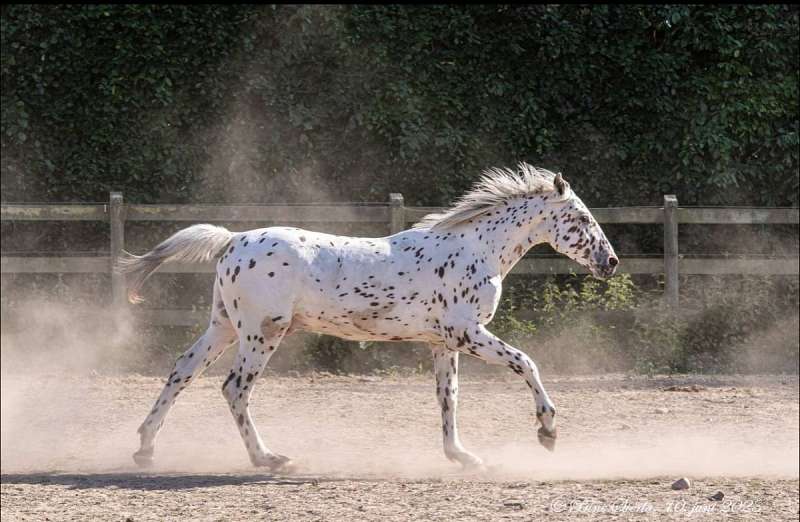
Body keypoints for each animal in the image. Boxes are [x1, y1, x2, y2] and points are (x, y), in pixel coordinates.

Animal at [118, 163, 618, 471]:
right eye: (581, 219)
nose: (610, 262)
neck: (476, 250)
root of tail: (232, 241)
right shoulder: (468, 332)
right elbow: (526, 362)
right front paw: (547, 430)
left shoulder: (443, 343)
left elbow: (449, 399)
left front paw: (463, 457)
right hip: (262, 334)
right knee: (234, 388)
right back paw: (269, 459)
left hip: (222, 327)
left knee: (181, 372)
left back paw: (145, 447)